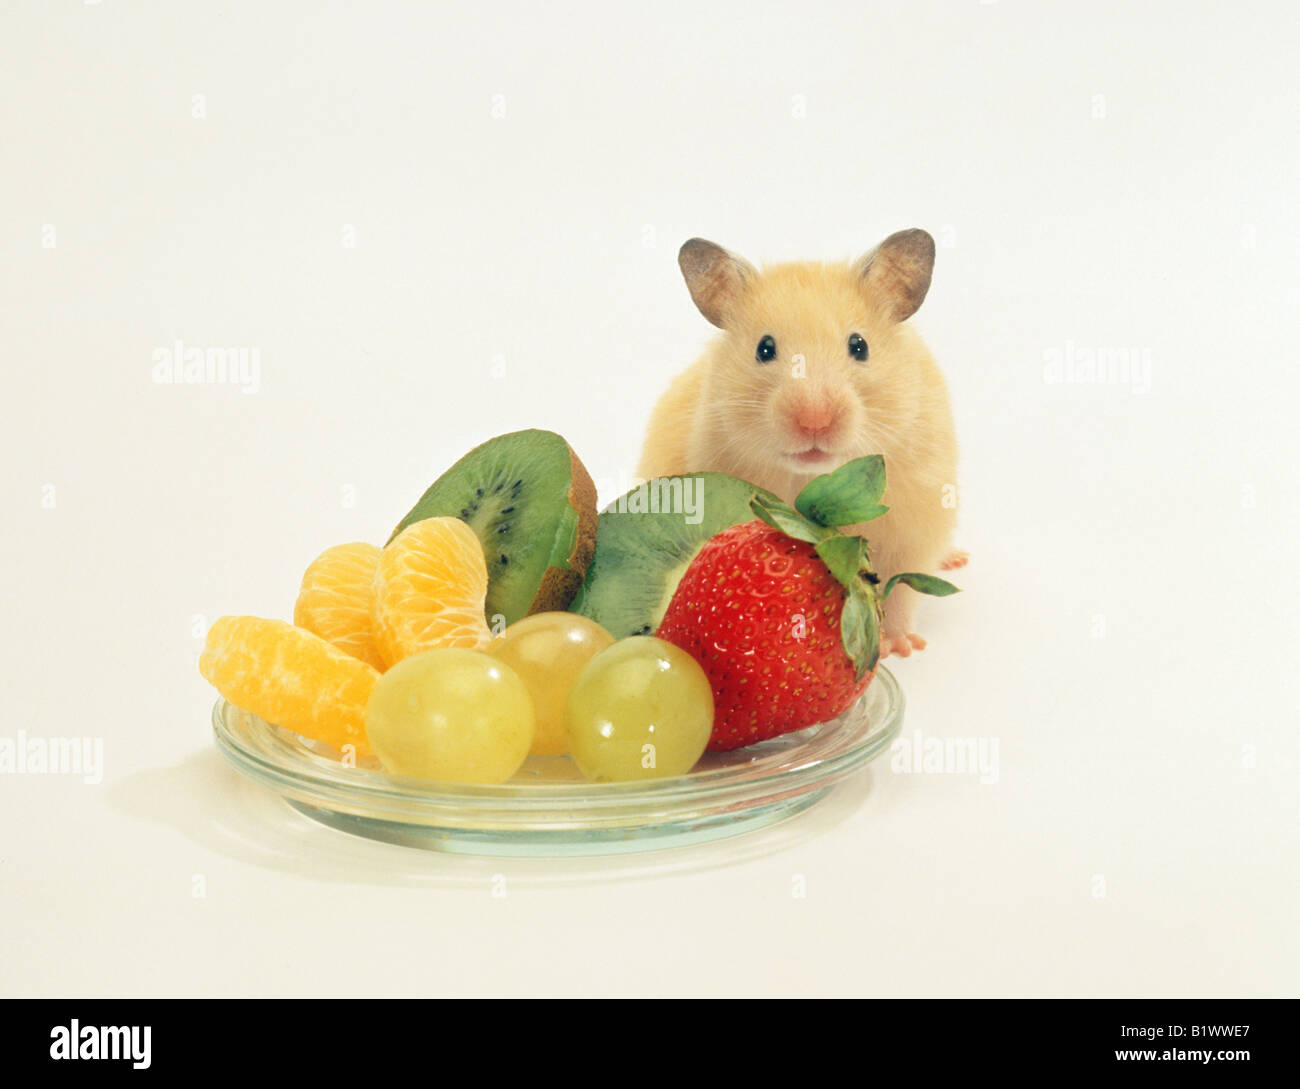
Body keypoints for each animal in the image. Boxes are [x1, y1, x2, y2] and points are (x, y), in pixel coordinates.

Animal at [637, 229, 964, 659]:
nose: (815, 421)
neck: (819, 481)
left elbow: (902, 591)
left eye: (859, 346)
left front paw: (902, 648)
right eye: (764, 349)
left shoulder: (915, 530)